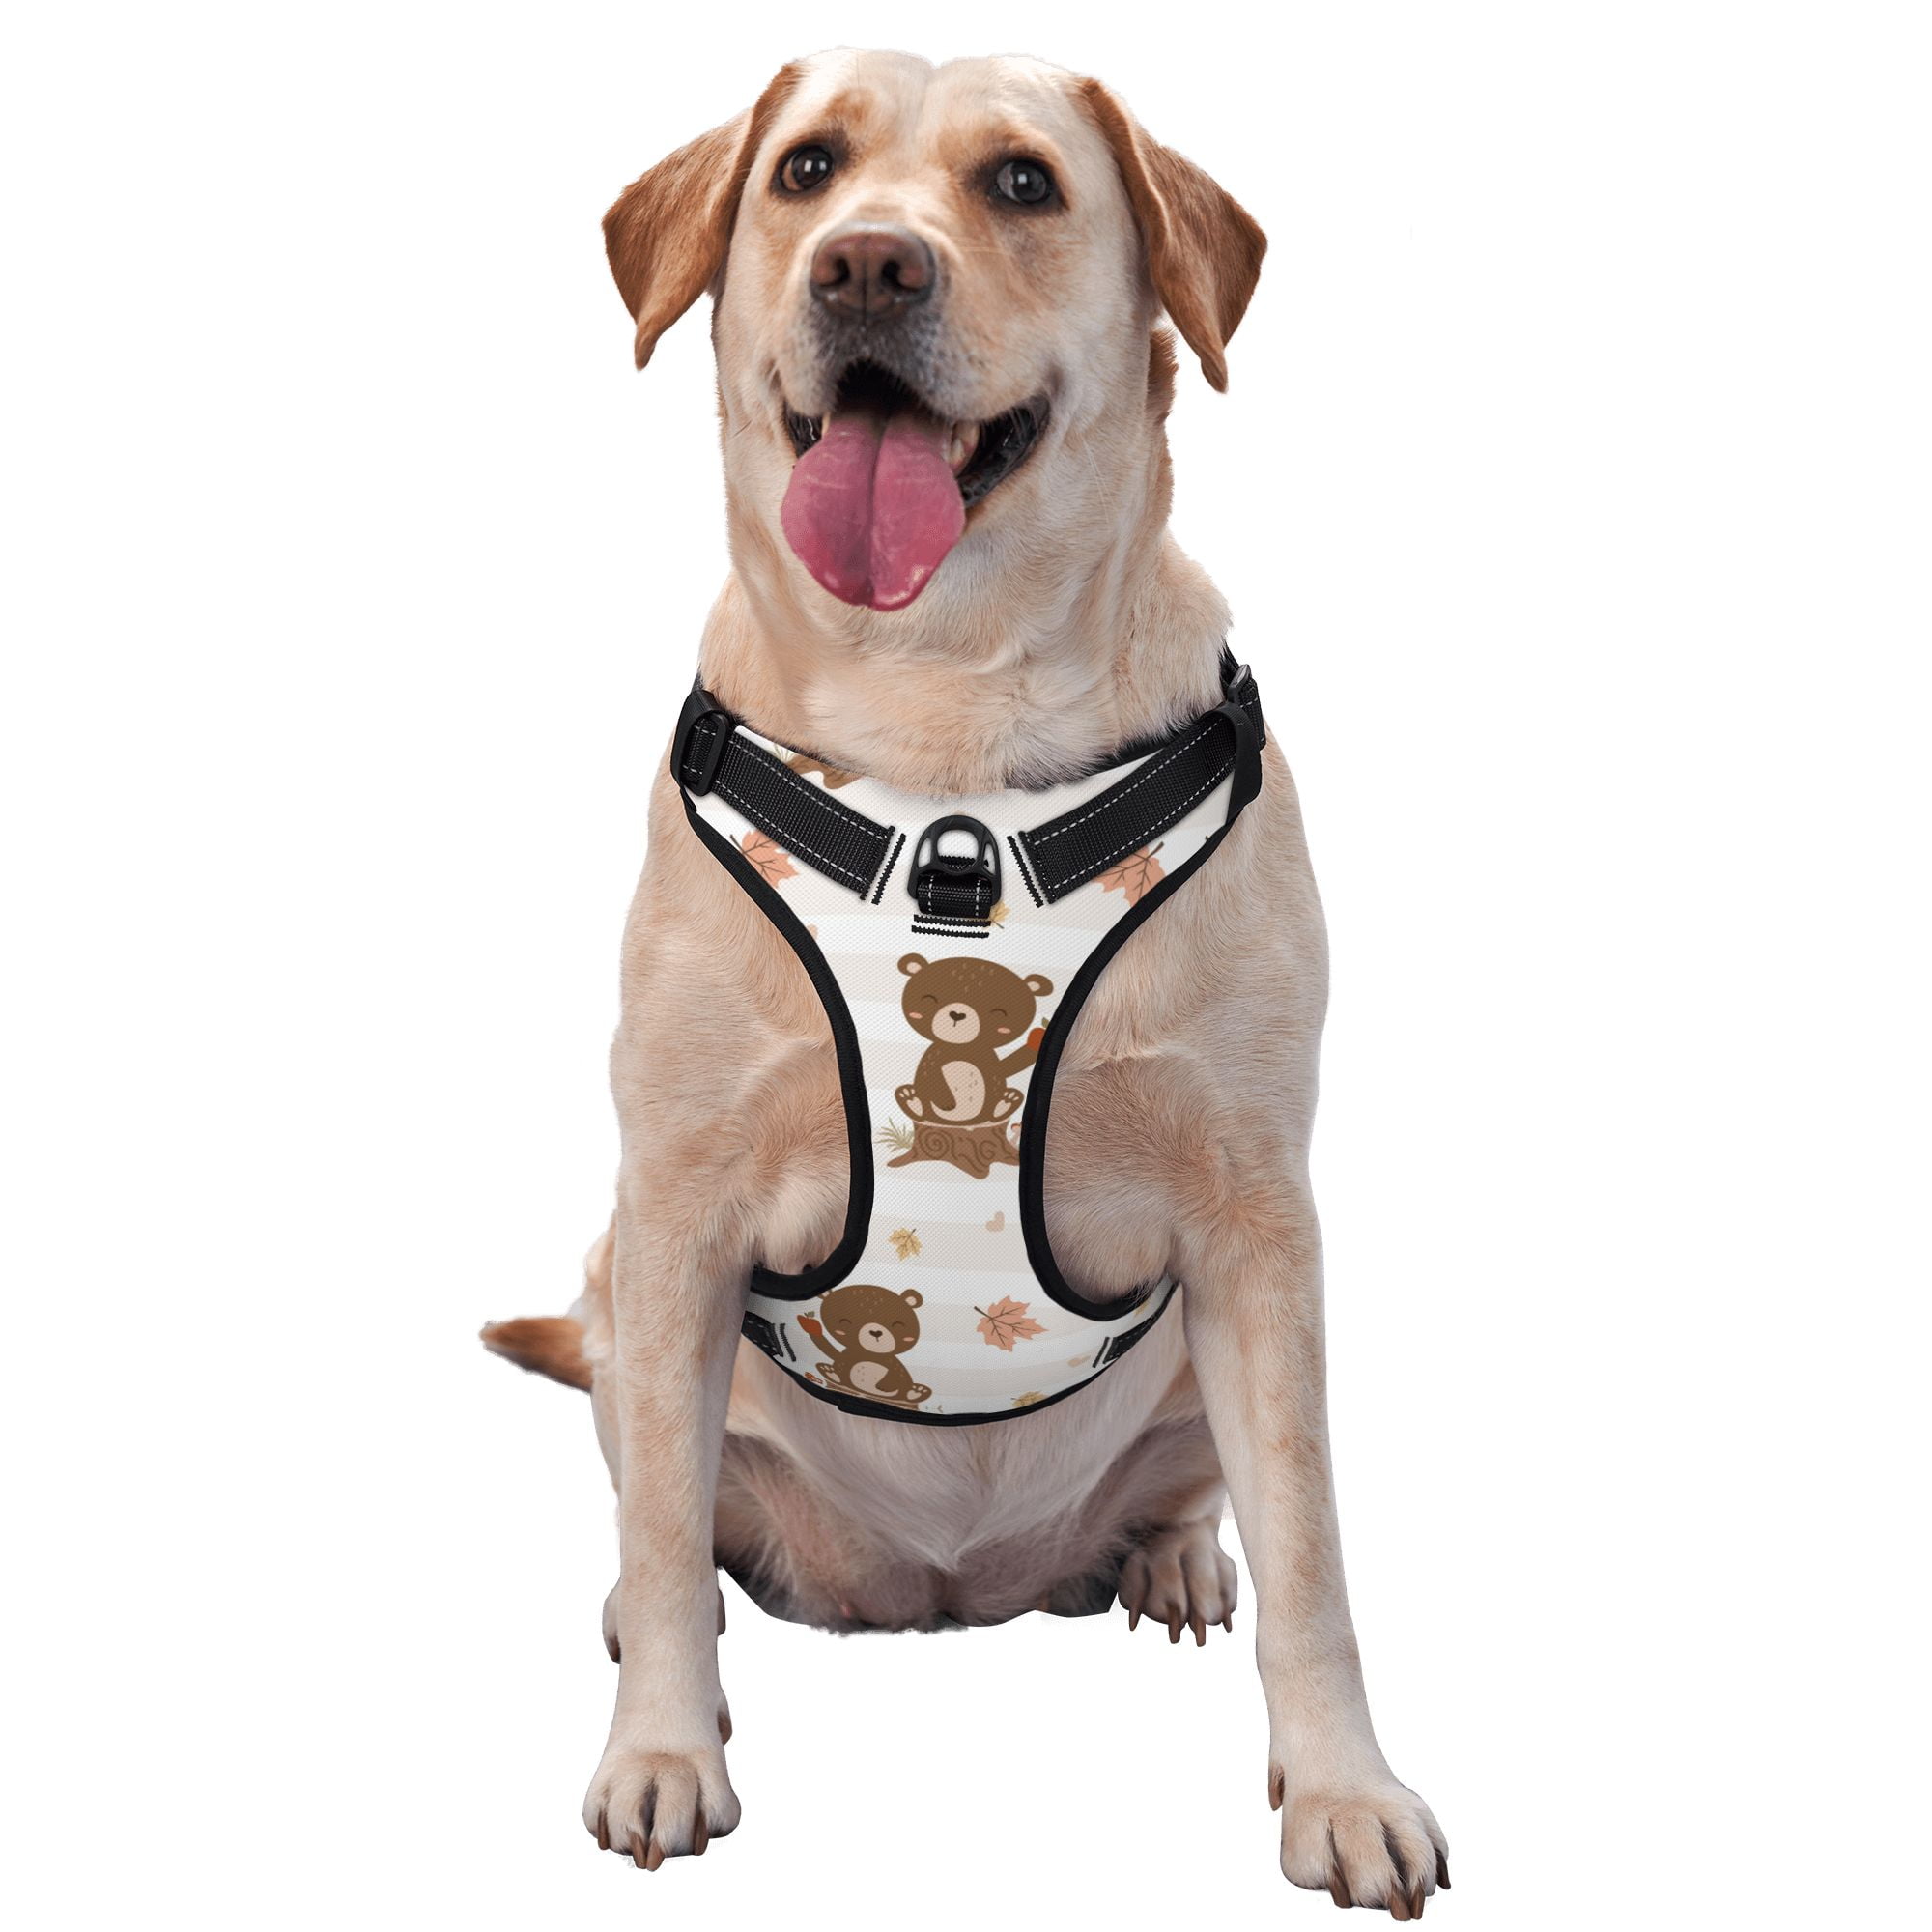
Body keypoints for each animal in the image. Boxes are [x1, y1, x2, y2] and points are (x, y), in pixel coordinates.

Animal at [798, 1283, 931, 1409]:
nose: (876, 1332)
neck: (871, 1353)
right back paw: (829, 1371)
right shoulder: (848, 1356)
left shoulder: (894, 1365)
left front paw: (884, 1386)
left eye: (898, 1325)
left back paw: (917, 1391)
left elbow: (898, 1375)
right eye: (845, 1322)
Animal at [892, 953, 1053, 1129]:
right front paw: (946, 1102)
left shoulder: (990, 1062)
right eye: (929, 999)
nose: (957, 1014)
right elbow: (931, 1074)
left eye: (998, 1013)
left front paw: (1035, 1040)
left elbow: (1005, 1067)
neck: (961, 1047)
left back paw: (1006, 1102)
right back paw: (910, 1098)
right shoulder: (933, 1057)